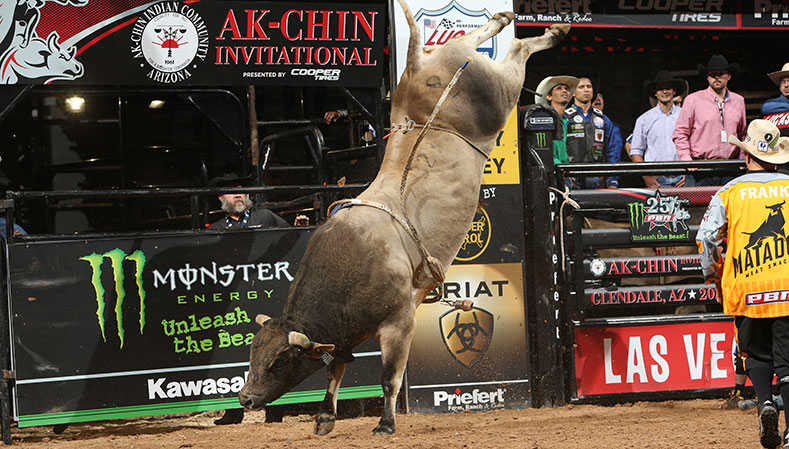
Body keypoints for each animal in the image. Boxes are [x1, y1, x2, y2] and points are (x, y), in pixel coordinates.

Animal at [238, 0, 569, 436]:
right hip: (473, 73)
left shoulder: (399, 321)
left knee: (513, 51)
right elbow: (336, 369)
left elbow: (388, 376)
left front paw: (385, 423)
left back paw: (542, 31)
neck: (354, 259)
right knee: (488, 42)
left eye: (278, 362)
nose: (245, 399)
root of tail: (415, 66)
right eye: (253, 354)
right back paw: (511, 22)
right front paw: (325, 416)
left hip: (499, 91)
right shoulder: (344, 333)